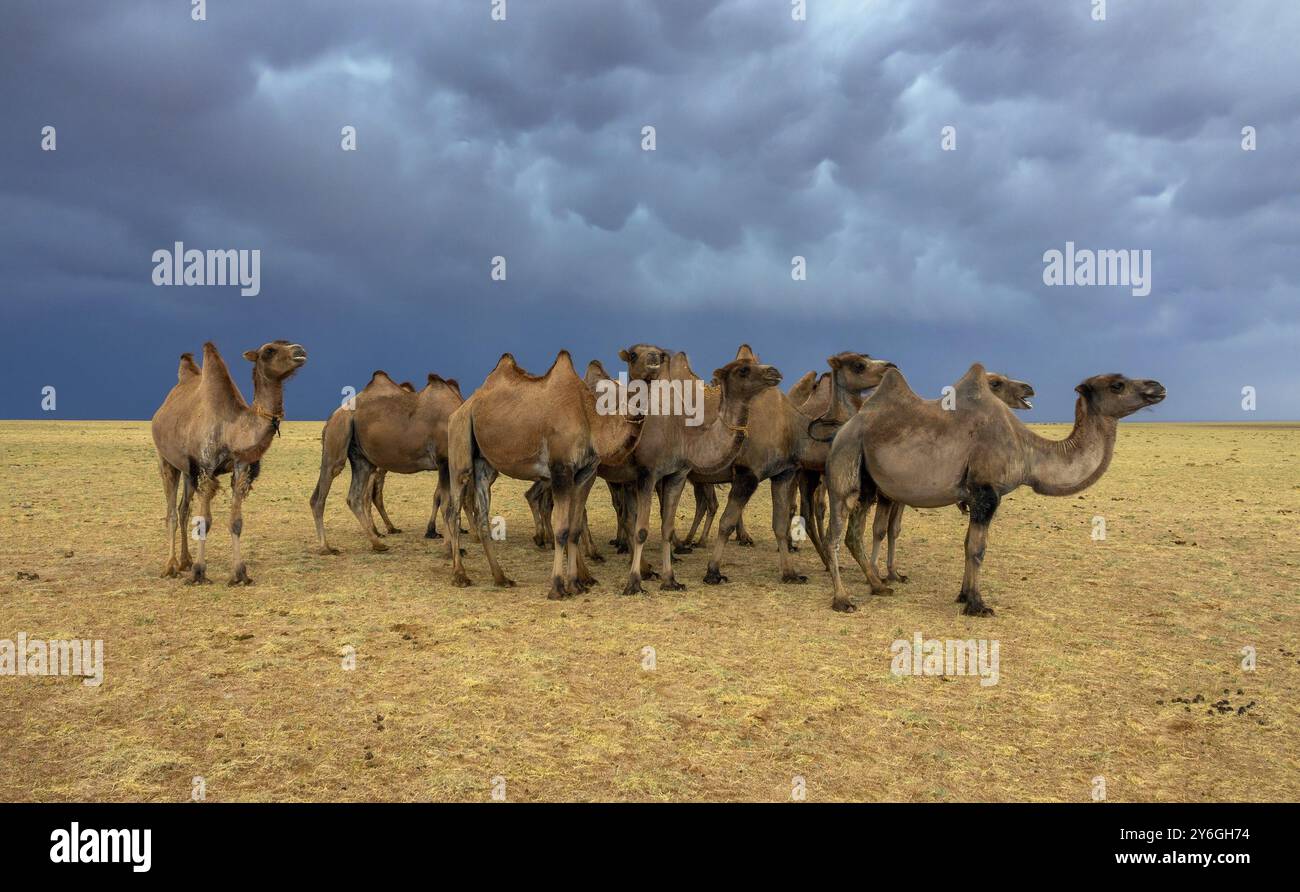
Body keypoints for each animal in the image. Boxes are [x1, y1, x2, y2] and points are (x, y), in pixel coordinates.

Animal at [151, 340, 307, 584]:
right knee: (172, 514)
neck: (232, 430)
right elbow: (204, 521)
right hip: (166, 461)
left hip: (188, 472)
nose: (299, 350)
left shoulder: (241, 467)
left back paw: (185, 561)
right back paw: (171, 566)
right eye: (269, 350)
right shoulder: (206, 468)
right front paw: (199, 572)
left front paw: (240, 573)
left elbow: (236, 522)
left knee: (183, 509)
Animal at [310, 371, 464, 554]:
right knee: (321, 493)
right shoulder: (444, 462)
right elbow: (447, 503)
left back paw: (378, 544)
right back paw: (326, 547)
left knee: (355, 497)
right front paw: (450, 548)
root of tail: (333, 416)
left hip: (362, 459)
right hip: (337, 437)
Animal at [445, 351, 644, 599]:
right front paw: (558, 587)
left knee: (482, 514)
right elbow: (562, 530)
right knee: (452, 511)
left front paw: (576, 584)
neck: (590, 418)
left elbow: (574, 530)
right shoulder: (561, 470)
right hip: (460, 445)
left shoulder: (584, 475)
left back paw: (501, 578)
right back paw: (460, 576)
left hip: (485, 465)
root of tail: (463, 406)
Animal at [699, 346, 895, 585]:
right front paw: (713, 572)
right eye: (859, 365)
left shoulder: (784, 472)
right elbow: (726, 522)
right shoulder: (749, 473)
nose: (891, 367)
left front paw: (790, 573)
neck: (794, 432)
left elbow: (780, 523)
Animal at [824, 364, 1165, 614]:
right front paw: (978, 605)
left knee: (855, 532)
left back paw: (879, 585)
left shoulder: (980, 497)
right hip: (845, 465)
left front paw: (964, 595)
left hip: (868, 484)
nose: (1157, 386)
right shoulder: (986, 492)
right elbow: (978, 549)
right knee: (835, 534)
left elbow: (967, 545)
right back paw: (843, 600)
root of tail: (847, 426)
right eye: (1117, 385)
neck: (1027, 451)